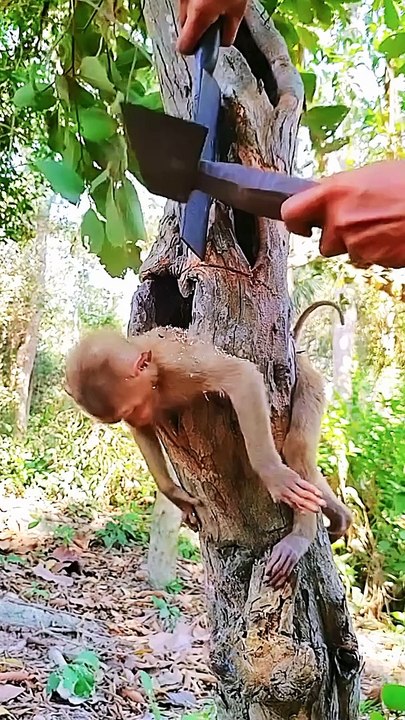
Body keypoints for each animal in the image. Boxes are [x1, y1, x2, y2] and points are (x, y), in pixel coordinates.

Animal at [64, 325, 326, 531]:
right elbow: (142, 430)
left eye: (135, 406)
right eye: (126, 414)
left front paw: (272, 472)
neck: (157, 379)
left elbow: (241, 376)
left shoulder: (179, 365)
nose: (137, 416)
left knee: (296, 445)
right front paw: (174, 494)